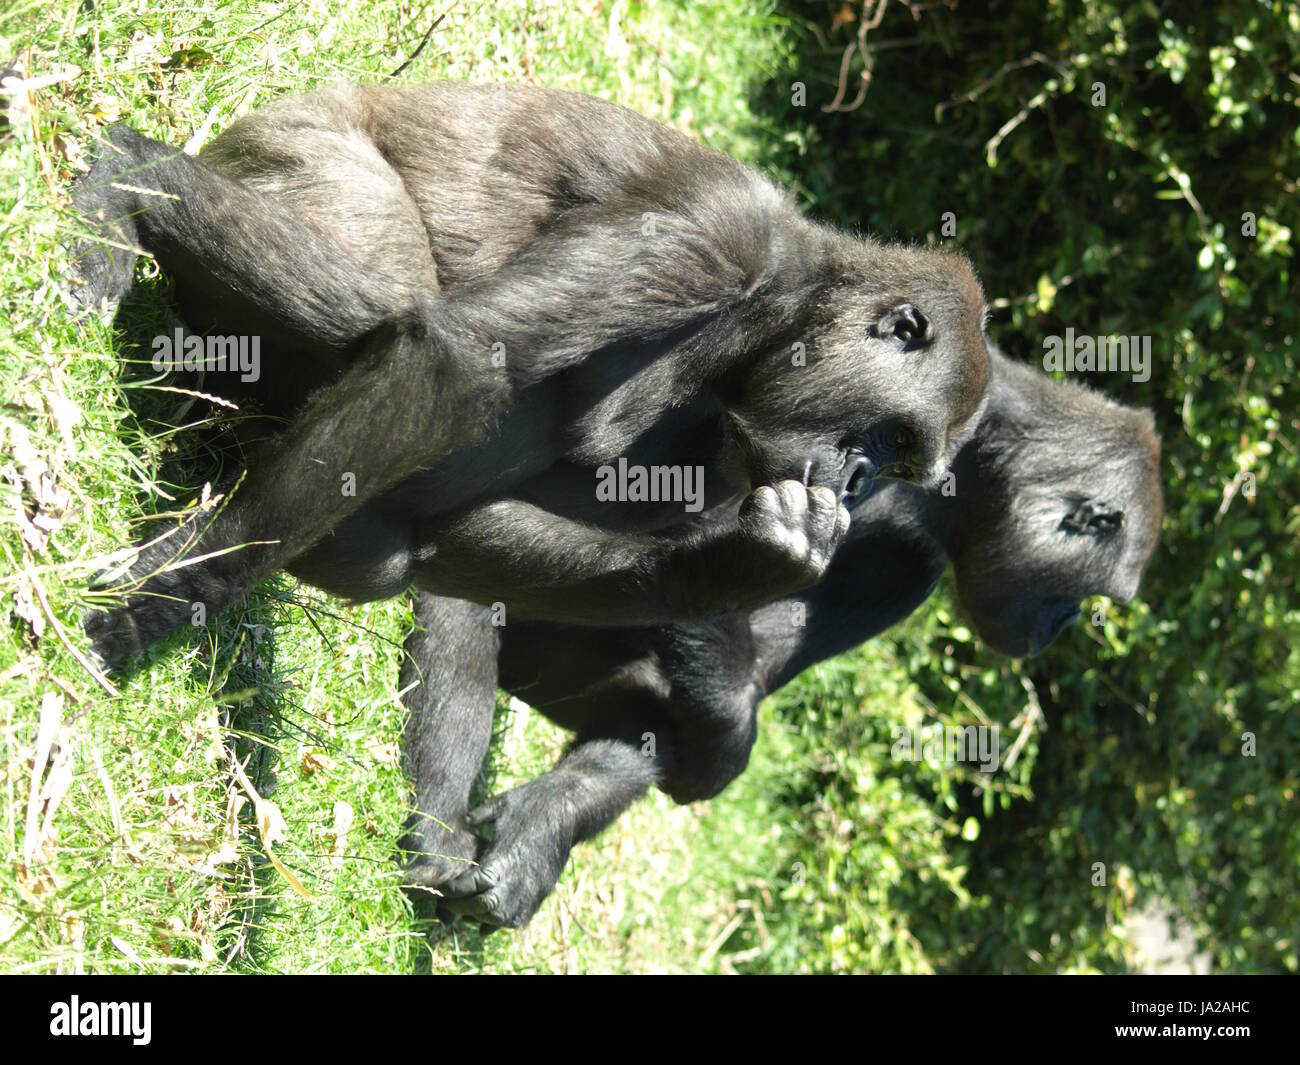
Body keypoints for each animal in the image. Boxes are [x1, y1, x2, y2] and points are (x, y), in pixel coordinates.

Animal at [398, 347, 1162, 927]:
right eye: (1080, 595)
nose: (1062, 626)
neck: (985, 460)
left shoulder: (909, 559)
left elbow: (737, 676)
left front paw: (547, 821)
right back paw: (434, 832)